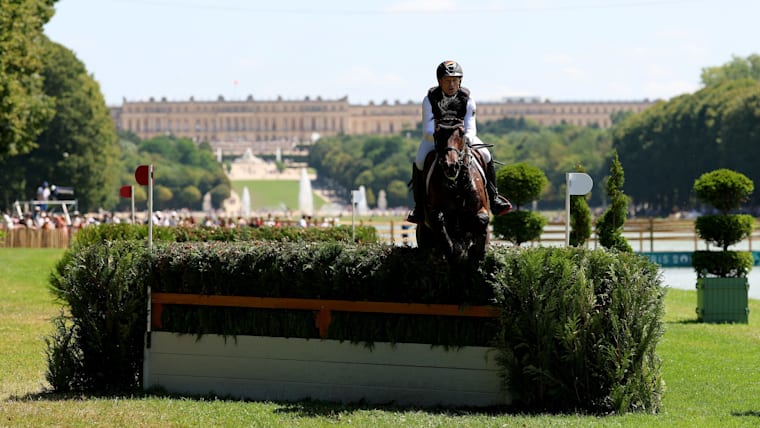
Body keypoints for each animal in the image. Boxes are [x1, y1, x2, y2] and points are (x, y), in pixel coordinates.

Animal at [416, 118, 492, 262]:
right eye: (437, 134)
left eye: (461, 134)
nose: (451, 166)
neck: (457, 183)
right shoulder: (431, 212)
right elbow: (438, 219)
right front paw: (453, 248)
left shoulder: (482, 207)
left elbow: (482, 219)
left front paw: (476, 252)